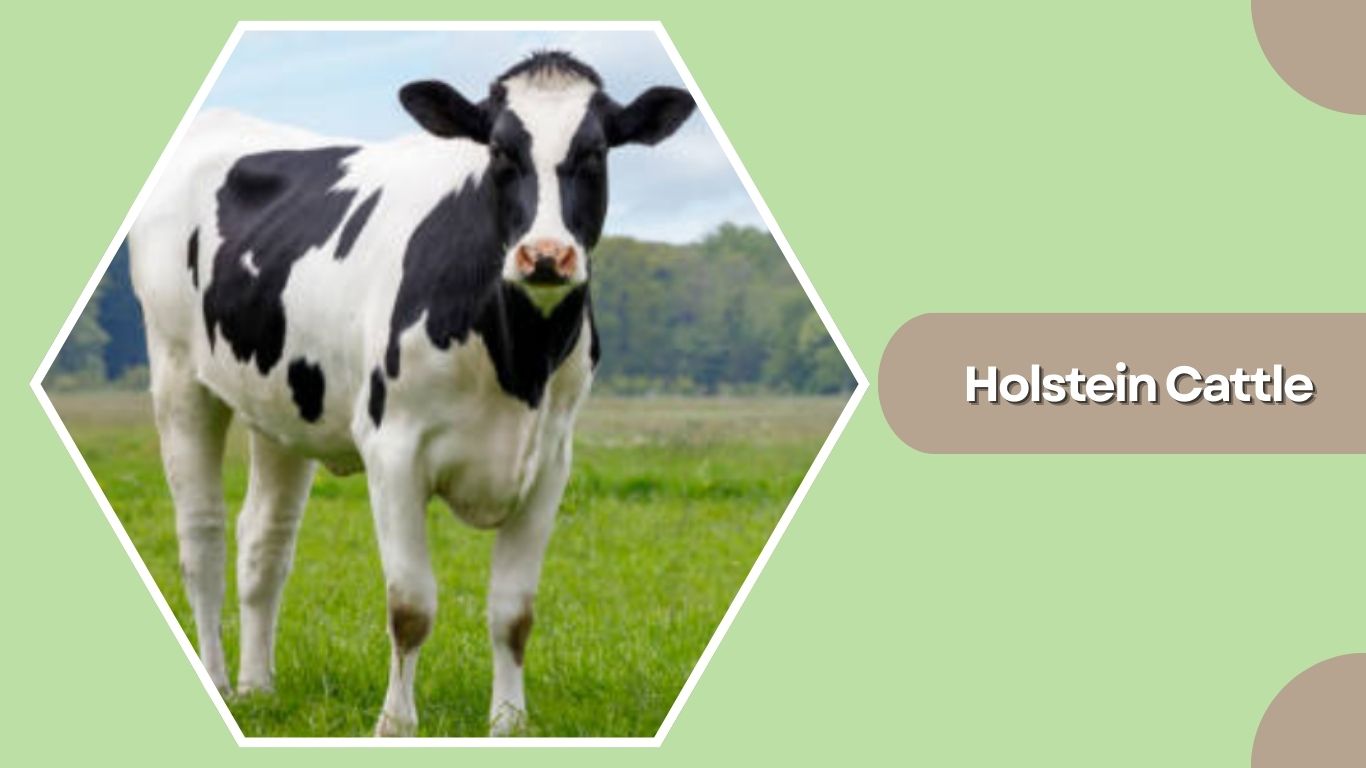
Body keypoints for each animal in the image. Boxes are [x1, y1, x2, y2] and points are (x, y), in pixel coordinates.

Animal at [128, 50, 695, 737]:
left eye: (594, 153)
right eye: (500, 151)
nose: (545, 255)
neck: (517, 360)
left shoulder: (550, 461)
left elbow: (514, 612)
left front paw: (509, 722)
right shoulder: (392, 449)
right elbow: (411, 605)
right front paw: (396, 723)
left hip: (279, 404)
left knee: (265, 539)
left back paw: (257, 687)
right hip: (177, 372)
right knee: (202, 537)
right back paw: (215, 677)